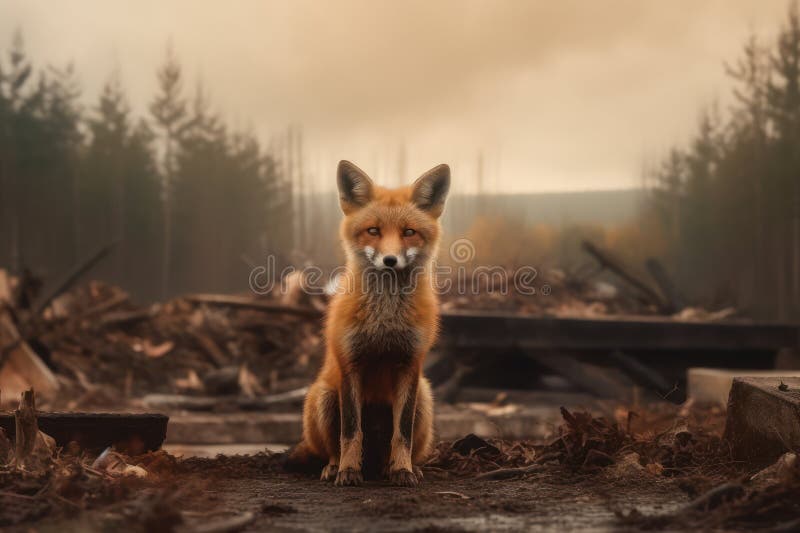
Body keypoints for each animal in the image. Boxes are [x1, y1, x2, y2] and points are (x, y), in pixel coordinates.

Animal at [289, 160, 450, 487]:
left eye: (409, 232)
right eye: (373, 231)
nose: (390, 260)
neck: (385, 319)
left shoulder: (409, 364)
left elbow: (402, 434)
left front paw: (402, 471)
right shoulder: (351, 364)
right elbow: (351, 431)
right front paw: (349, 471)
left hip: (424, 398)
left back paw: (398, 467)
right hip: (325, 397)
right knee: (332, 447)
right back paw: (334, 466)